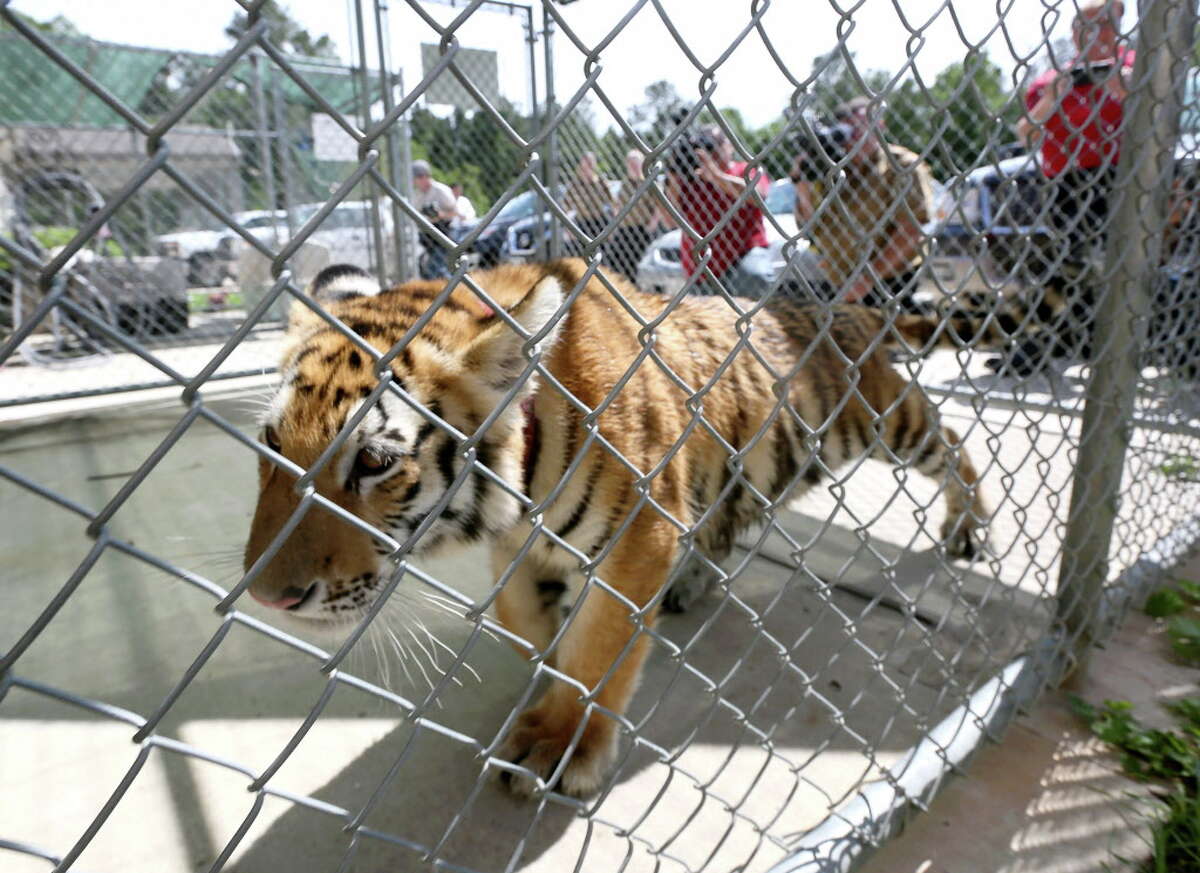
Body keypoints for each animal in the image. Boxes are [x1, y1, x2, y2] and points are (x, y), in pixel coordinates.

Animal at [243, 258, 993, 798]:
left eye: (373, 461)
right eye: (273, 442)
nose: (269, 595)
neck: (522, 488)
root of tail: (844, 306)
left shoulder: (638, 539)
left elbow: (597, 651)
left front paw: (558, 741)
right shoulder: (519, 547)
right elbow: (525, 623)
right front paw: (542, 669)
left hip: (885, 420)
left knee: (953, 441)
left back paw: (971, 528)